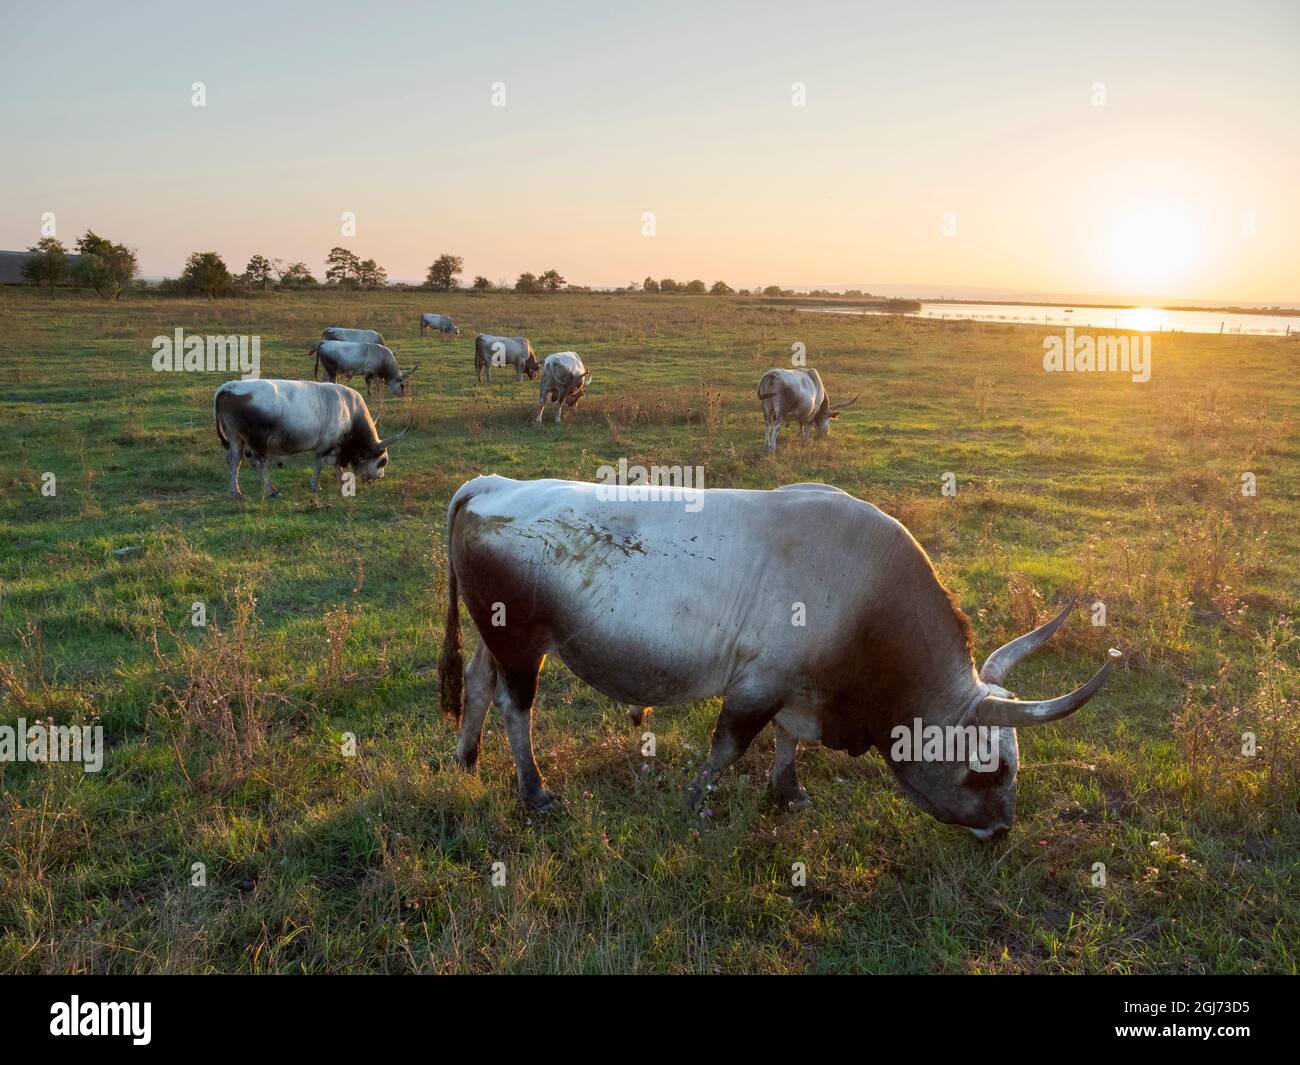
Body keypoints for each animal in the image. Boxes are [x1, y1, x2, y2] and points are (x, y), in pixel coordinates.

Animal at [214, 379, 409, 499]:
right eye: (382, 461)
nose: (379, 478)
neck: (350, 409)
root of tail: (230, 386)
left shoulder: (336, 445)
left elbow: (335, 463)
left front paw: (342, 478)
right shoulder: (327, 443)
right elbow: (320, 463)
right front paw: (315, 485)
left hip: (236, 439)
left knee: (234, 462)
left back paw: (236, 493)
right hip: (258, 441)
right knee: (259, 463)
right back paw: (271, 490)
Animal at [438, 475, 1119, 837]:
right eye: (989, 769)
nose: (1002, 831)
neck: (867, 594)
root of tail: (493, 485)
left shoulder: (797, 686)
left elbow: (789, 741)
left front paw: (787, 790)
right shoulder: (758, 684)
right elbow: (727, 747)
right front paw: (695, 801)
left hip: (497, 638)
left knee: (476, 682)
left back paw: (466, 759)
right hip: (522, 644)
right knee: (515, 709)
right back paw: (533, 790)